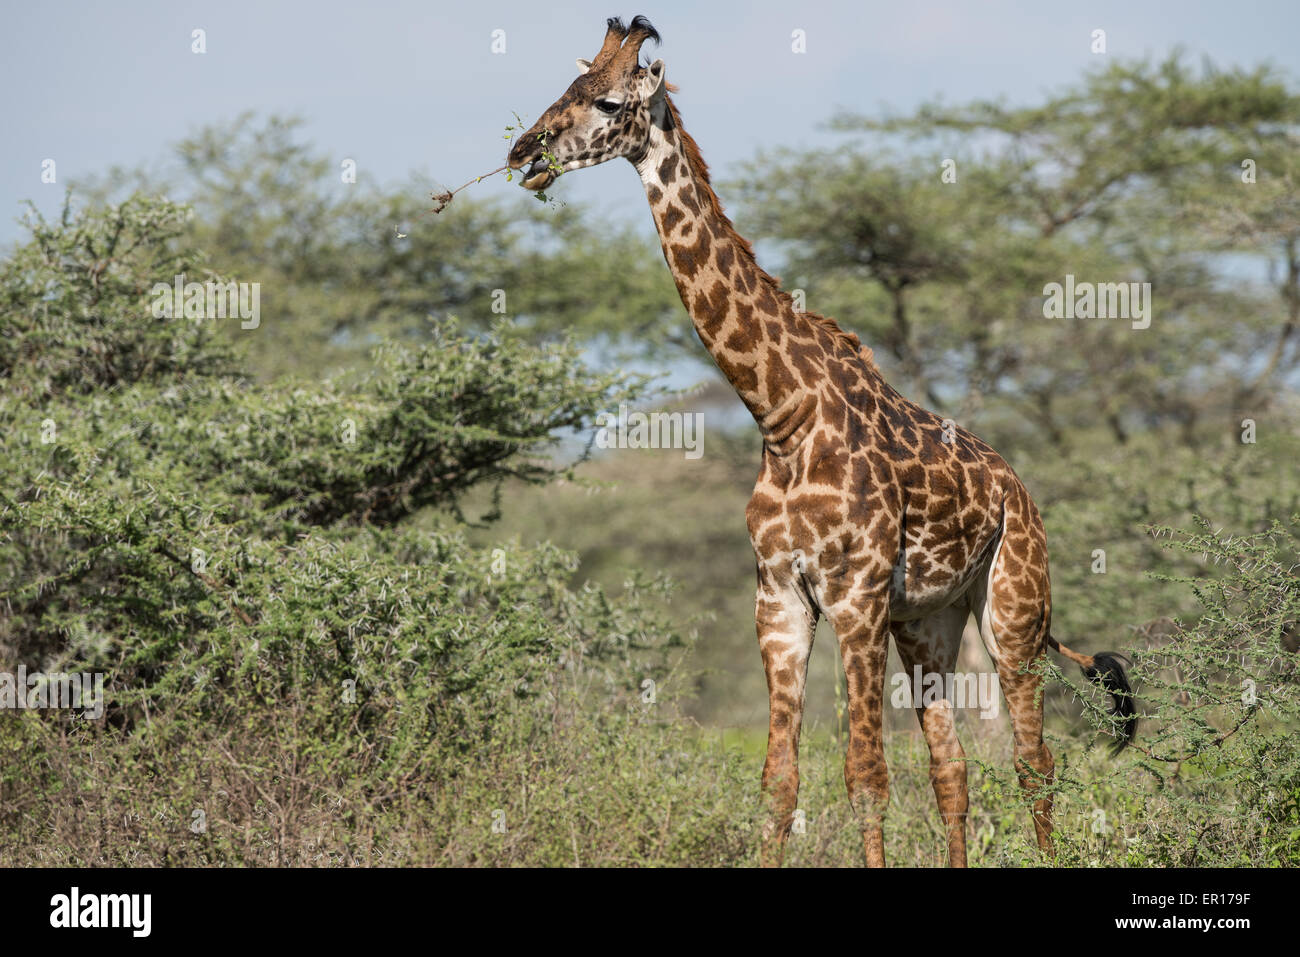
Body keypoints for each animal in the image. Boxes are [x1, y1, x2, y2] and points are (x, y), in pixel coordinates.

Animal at [506, 15, 1137, 867]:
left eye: (606, 100)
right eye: (565, 87)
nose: (524, 152)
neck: (782, 414)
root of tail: (1019, 487)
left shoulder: (855, 597)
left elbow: (865, 775)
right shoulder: (779, 598)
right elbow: (780, 780)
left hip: (1012, 606)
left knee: (1033, 759)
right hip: (930, 621)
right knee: (953, 766)